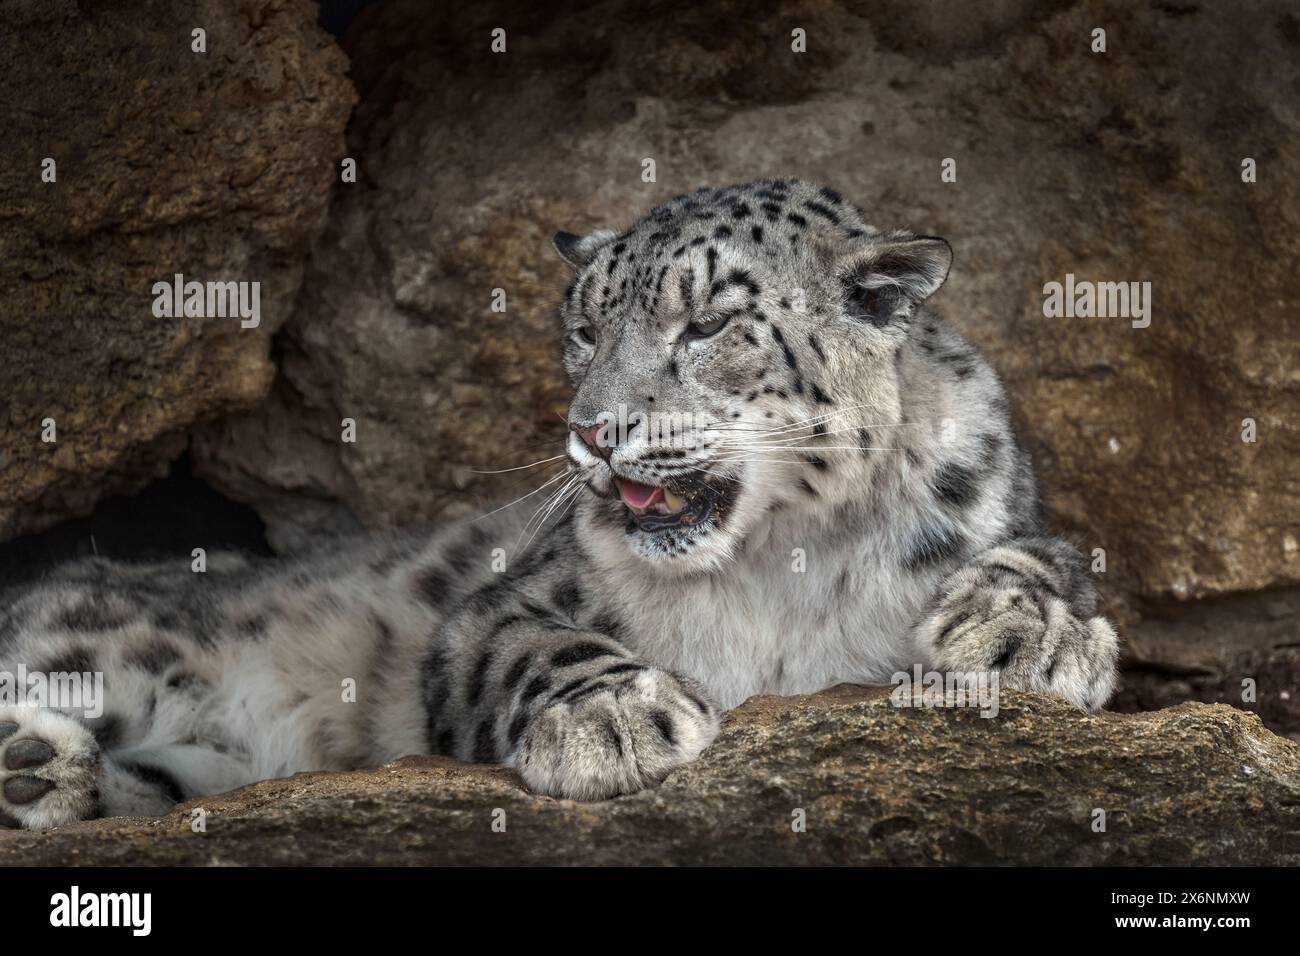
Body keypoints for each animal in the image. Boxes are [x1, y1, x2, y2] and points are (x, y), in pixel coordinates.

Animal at [0, 179, 1119, 830]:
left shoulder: (1004, 515)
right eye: (583, 330)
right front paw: (614, 720)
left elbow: (1054, 556)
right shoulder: (503, 606)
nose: (593, 430)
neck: (784, 559)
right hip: (95, 641)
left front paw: (1021, 633)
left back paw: (43, 775)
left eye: (707, 324)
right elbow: (528, 645)